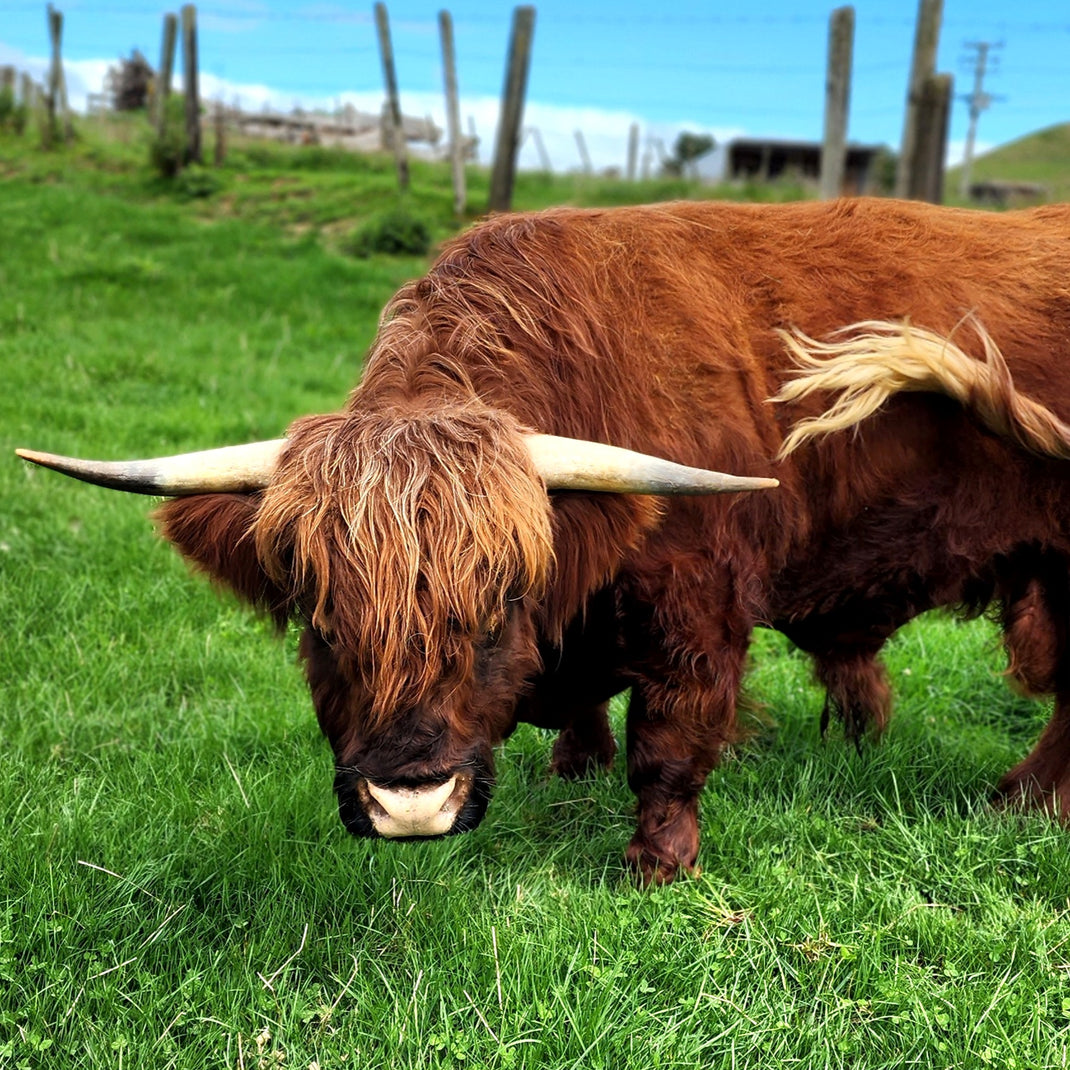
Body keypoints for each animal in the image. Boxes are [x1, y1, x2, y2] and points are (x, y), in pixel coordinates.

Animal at [18, 197, 1070, 884]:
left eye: (496, 608)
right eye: (321, 620)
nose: (410, 801)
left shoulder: (697, 603)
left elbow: (669, 745)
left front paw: (655, 865)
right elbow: (591, 717)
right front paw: (575, 765)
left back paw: (1019, 801)